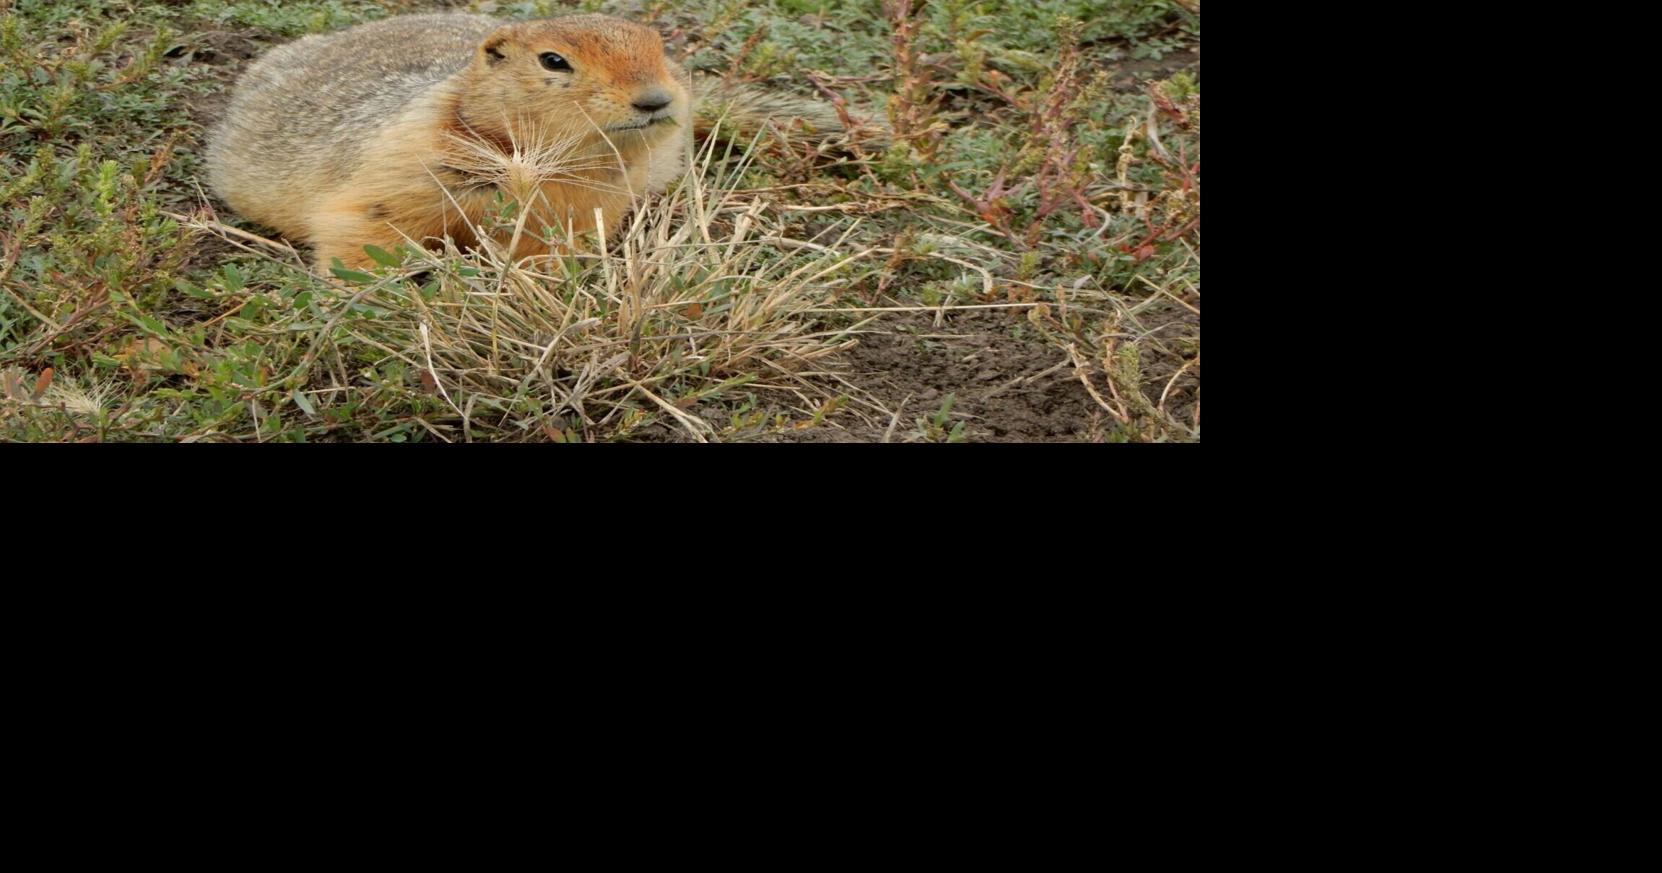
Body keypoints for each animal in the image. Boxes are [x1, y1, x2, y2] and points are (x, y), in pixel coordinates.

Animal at [205, 13, 866, 272]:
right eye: (553, 60)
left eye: (659, 47)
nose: (657, 98)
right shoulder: (403, 163)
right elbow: (364, 226)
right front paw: (373, 292)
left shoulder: (586, 204)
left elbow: (546, 248)